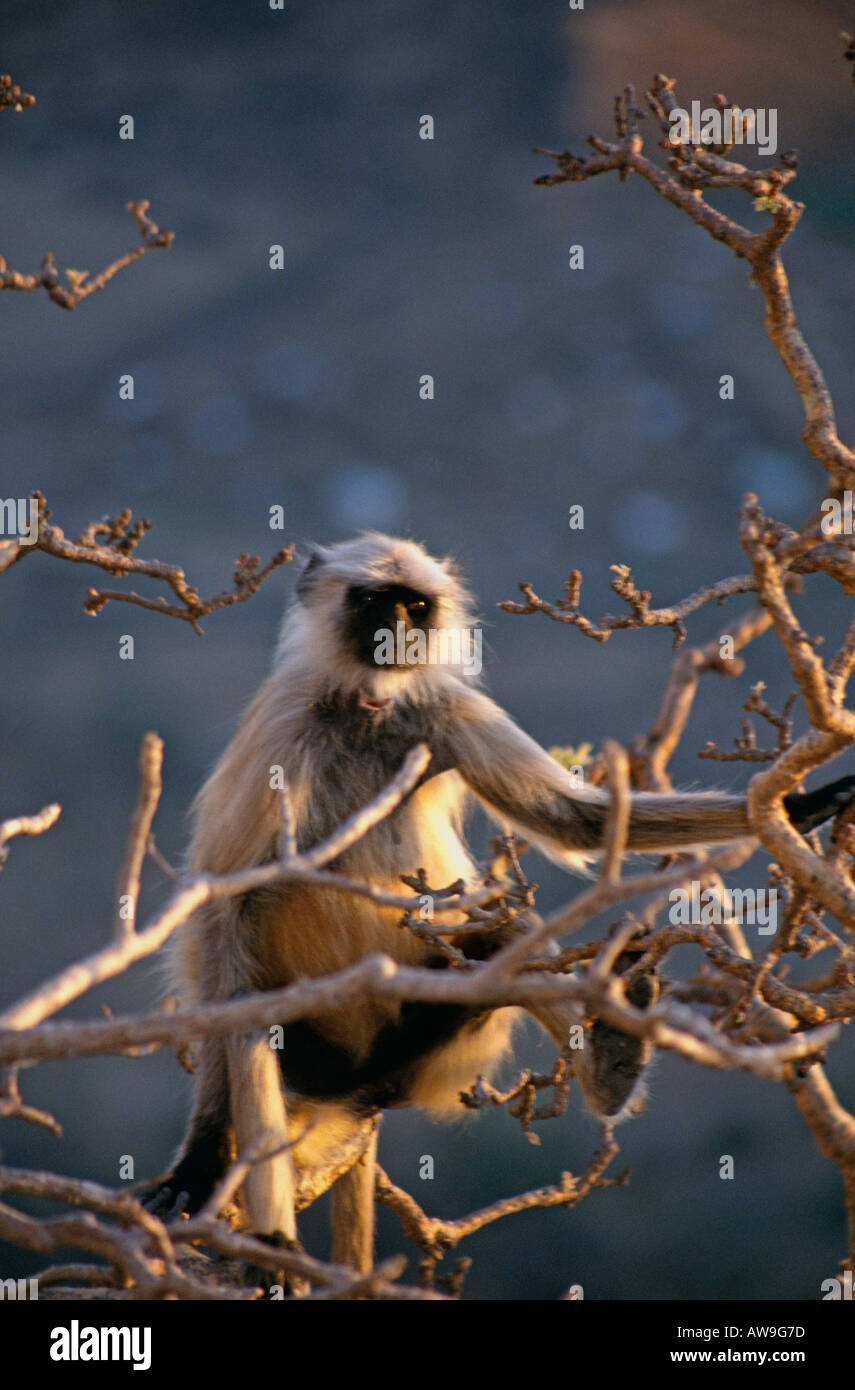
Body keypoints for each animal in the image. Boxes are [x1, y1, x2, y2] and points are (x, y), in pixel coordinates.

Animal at [144, 532, 855, 1274]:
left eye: (414, 606)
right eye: (372, 601)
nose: (396, 629)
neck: (368, 705)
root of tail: (366, 1083)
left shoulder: (446, 708)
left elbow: (578, 820)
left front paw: (803, 806)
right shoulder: (286, 716)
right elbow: (223, 902)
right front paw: (200, 1158)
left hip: (438, 1046)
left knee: (508, 927)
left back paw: (610, 1064)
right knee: (251, 1008)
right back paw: (272, 1244)